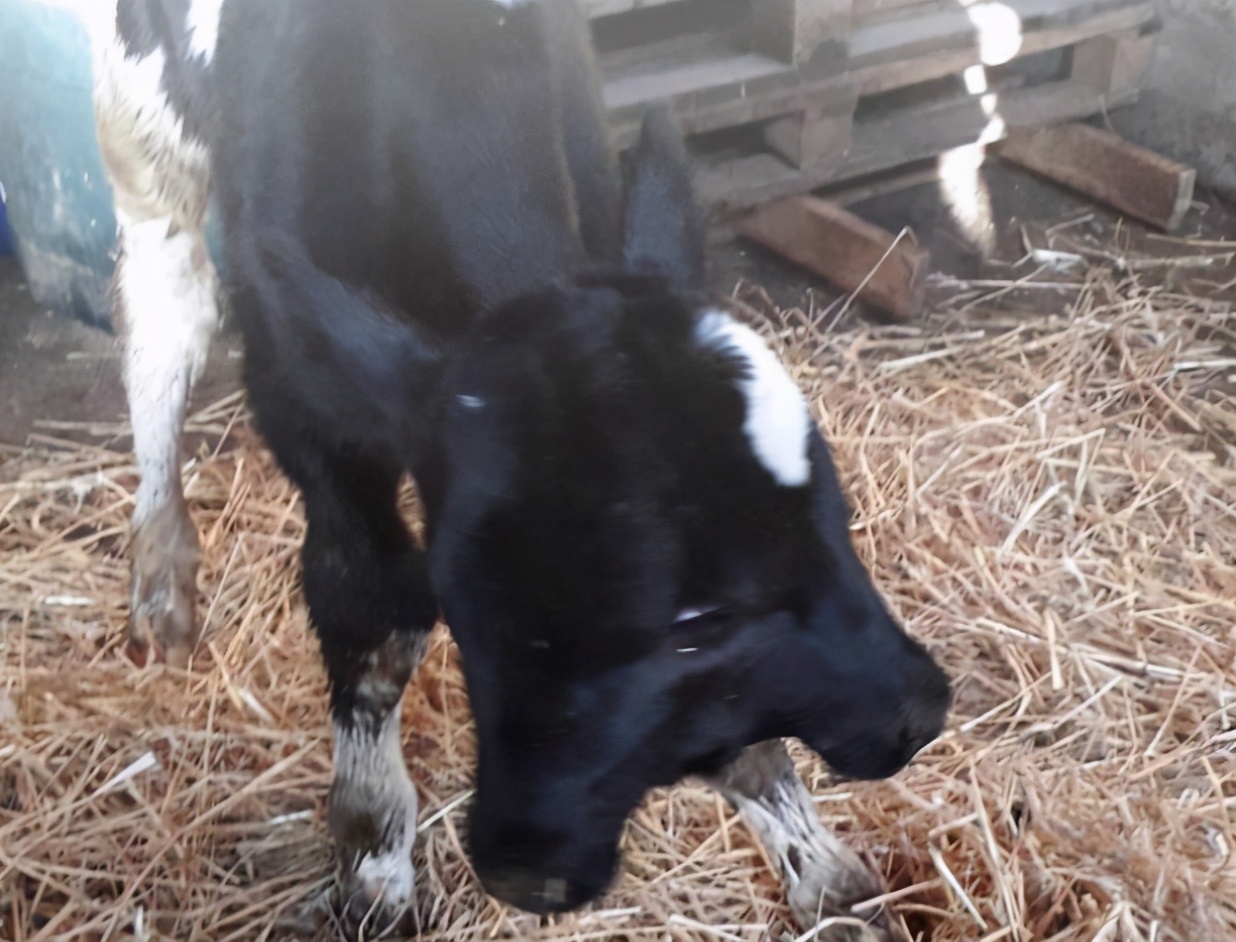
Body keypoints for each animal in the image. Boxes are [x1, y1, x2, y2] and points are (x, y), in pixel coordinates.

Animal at [90, 0, 950, 936]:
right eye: (690, 625)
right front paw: (374, 855)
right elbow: (370, 606)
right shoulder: (307, 394)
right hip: (141, 106)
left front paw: (822, 871)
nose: (919, 710)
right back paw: (161, 575)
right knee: (162, 301)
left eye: (835, 526)